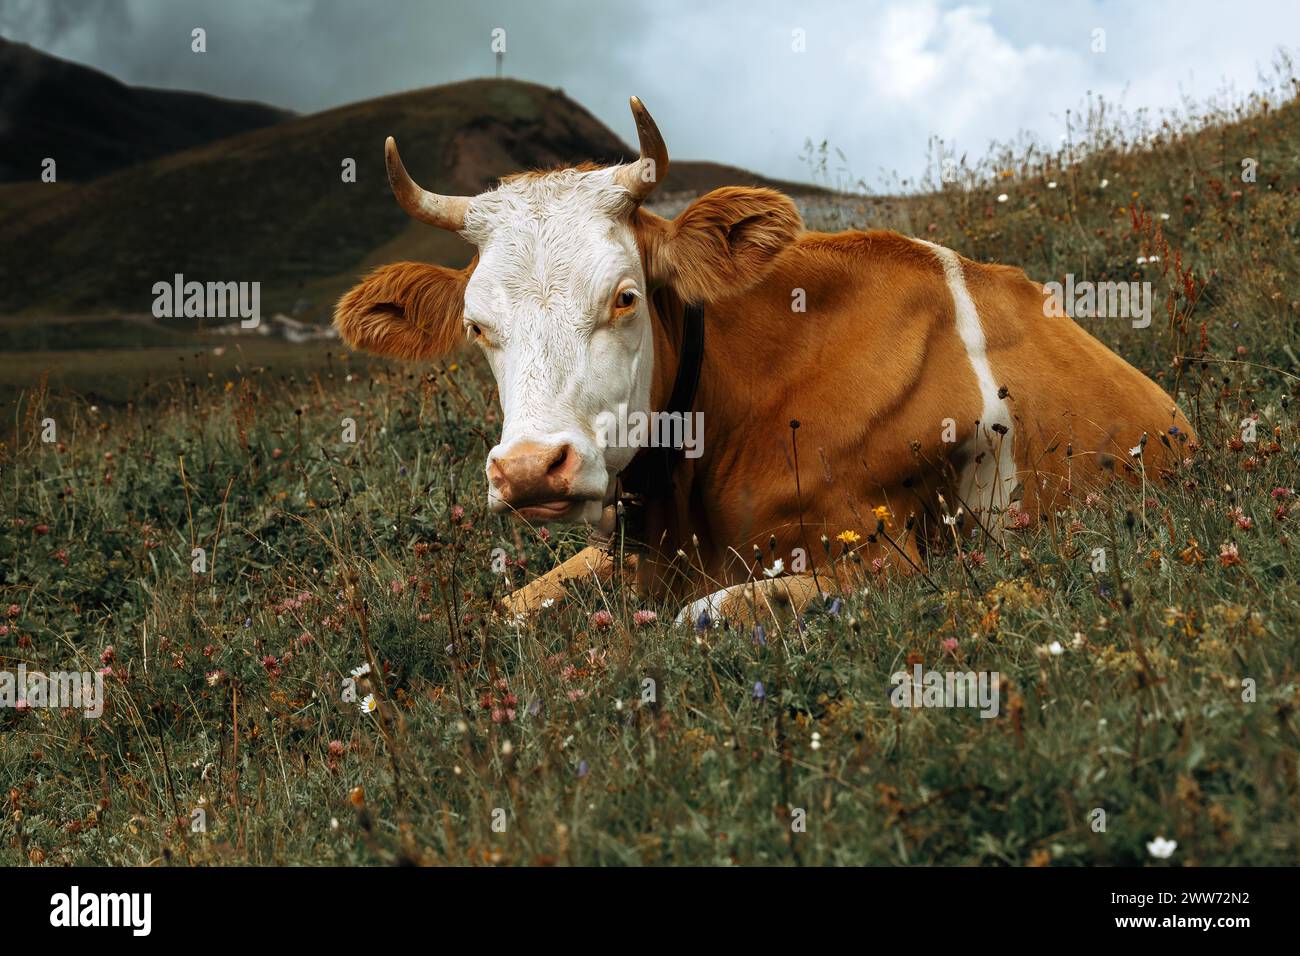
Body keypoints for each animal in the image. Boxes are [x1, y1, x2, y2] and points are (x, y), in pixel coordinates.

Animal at [334, 97, 1196, 625]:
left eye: (623, 296)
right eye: (478, 325)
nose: (528, 470)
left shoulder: (885, 556)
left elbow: (700, 615)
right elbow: (506, 611)